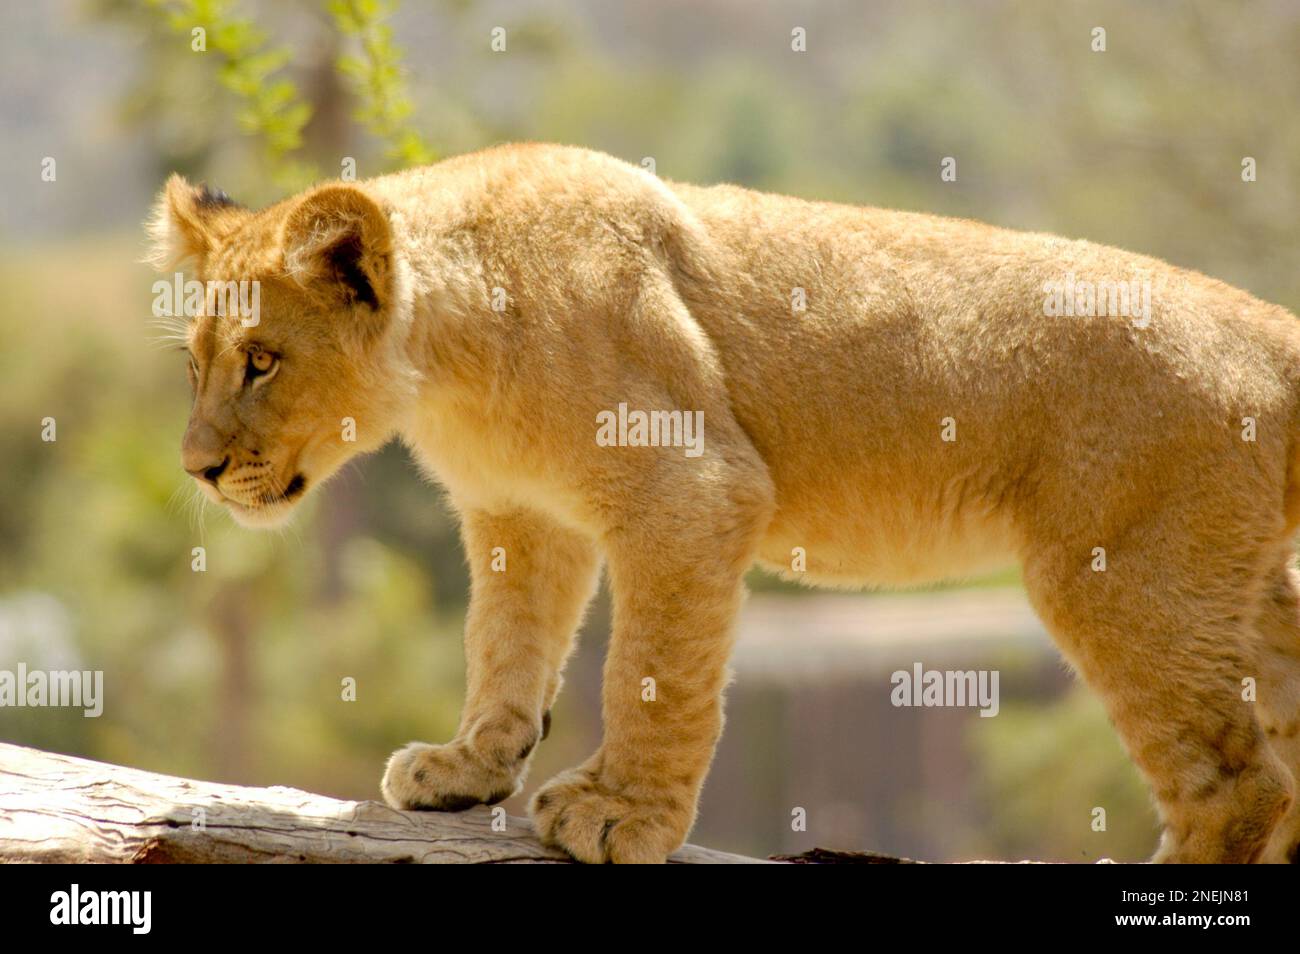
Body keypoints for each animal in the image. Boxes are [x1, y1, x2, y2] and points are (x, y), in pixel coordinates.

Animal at [147, 142, 1300, 863]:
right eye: (194, 365)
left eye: (262, 360)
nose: (196, 467)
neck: (445, 363)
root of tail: (1269, 324)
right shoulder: (523, 517)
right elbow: (506, 645)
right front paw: (470, 767)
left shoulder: (691, 488)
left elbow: (651, 671)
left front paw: (617, 814)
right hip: (1242, 588)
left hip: (1120, 576)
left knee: (1239, 784)